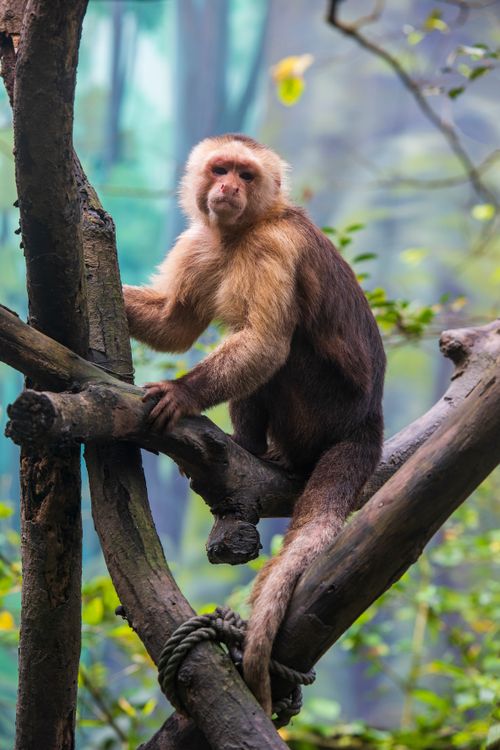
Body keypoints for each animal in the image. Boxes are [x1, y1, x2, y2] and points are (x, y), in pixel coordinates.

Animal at [123, 133, 386, 716]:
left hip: (324, 413)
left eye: (245, 175)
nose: (227, 189)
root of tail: (369, 421)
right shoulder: (199, 242)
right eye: (220, 169)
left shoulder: (273, 249)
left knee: (281, 352)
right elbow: (175, 323)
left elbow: (263, 345)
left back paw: (255, 451)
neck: (242, 230)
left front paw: (183, 392)